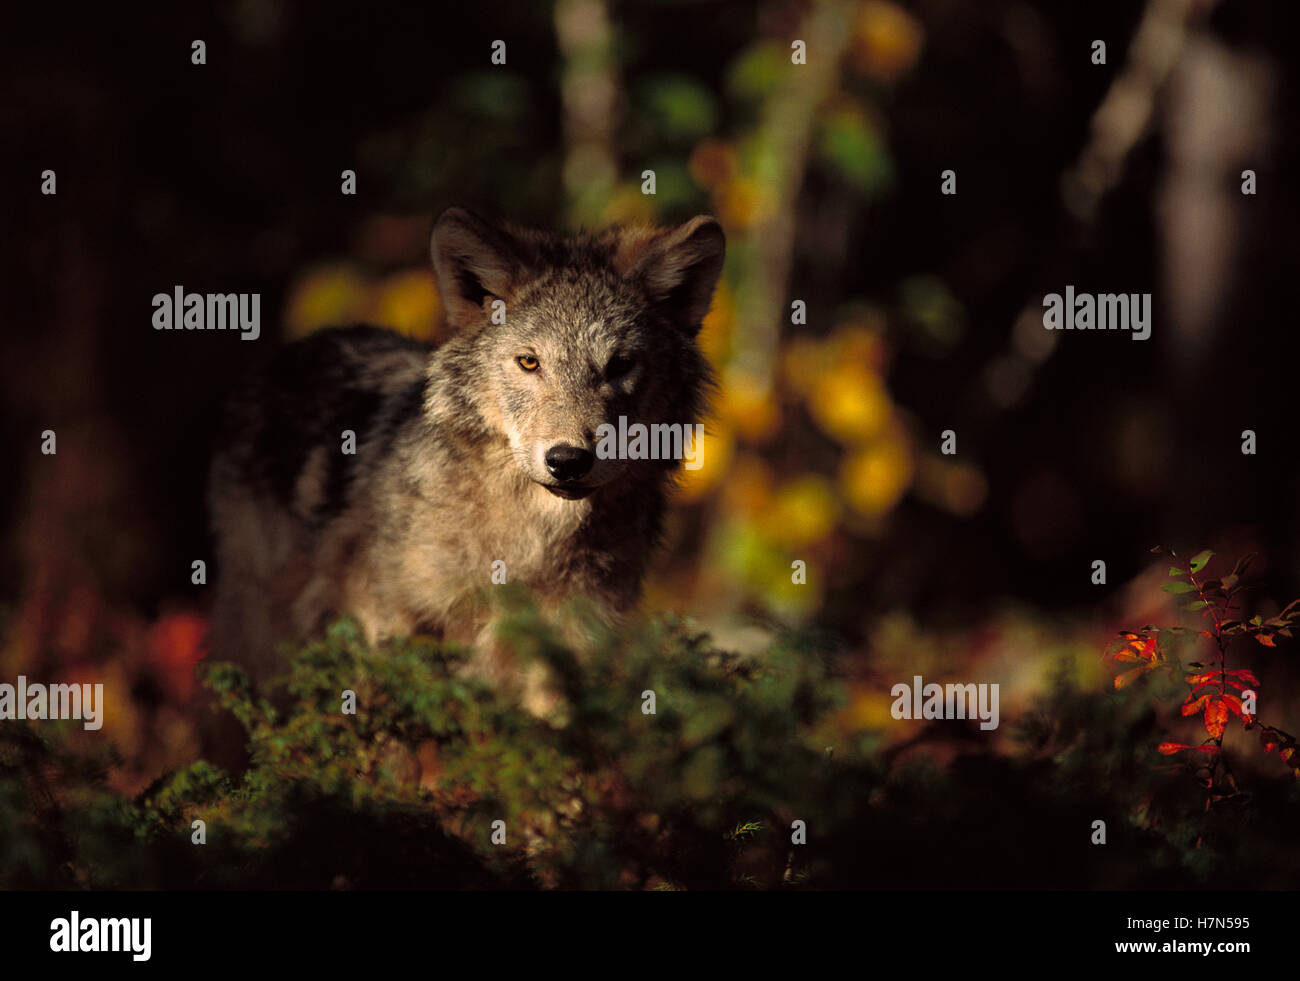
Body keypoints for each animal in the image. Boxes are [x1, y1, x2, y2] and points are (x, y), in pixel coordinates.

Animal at [206, 207, 724, 705]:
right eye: (529, 362)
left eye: (619, 366)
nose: (567, 460)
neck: (531, 543)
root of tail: (301, 346)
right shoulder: (390, 620)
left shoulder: (571, 641)